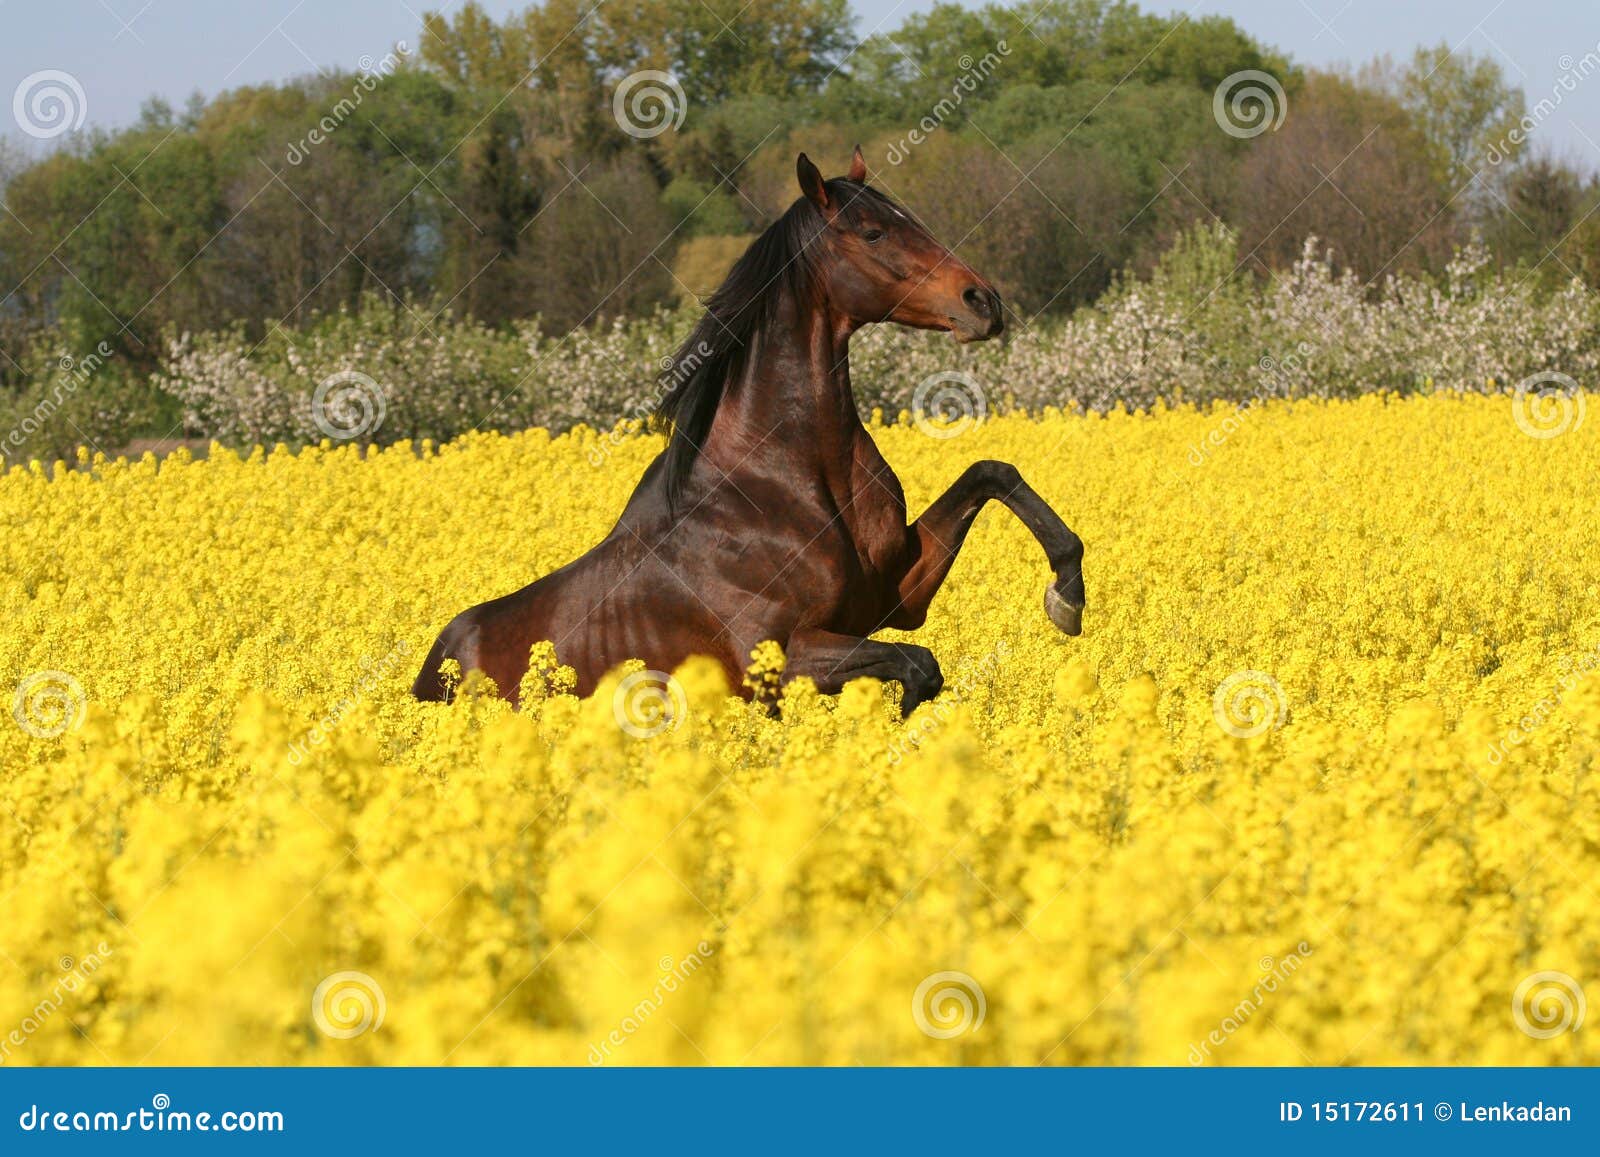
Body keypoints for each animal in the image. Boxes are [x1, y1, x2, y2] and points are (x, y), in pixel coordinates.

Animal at [412, 147, 1086, 717]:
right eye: (873, 232)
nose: (983, 302)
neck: (782, 483)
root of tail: (430, 669)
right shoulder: (781, 656)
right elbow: (919, 666)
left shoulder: (896, 597)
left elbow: (991, 474)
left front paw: (1067, 598)